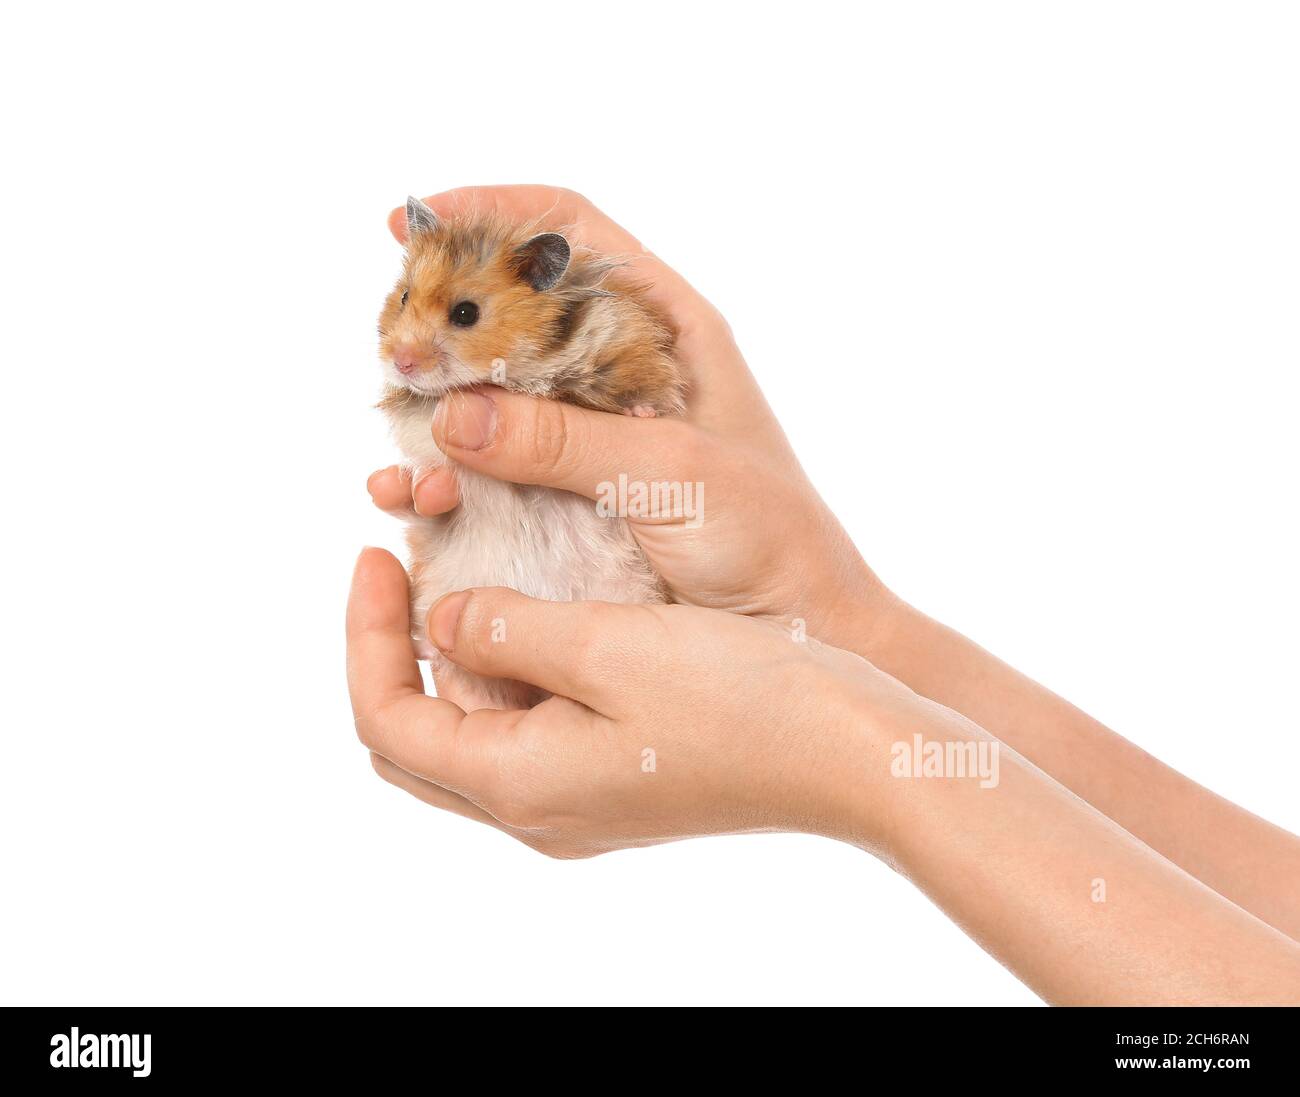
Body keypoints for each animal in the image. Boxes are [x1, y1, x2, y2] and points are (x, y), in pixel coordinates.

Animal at [376, 197, 687, 710]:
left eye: (465, 313)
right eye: (403, 297)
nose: (401, 363)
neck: (514, 373)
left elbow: (640, 390)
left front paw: (642, 415)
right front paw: (425, 489)